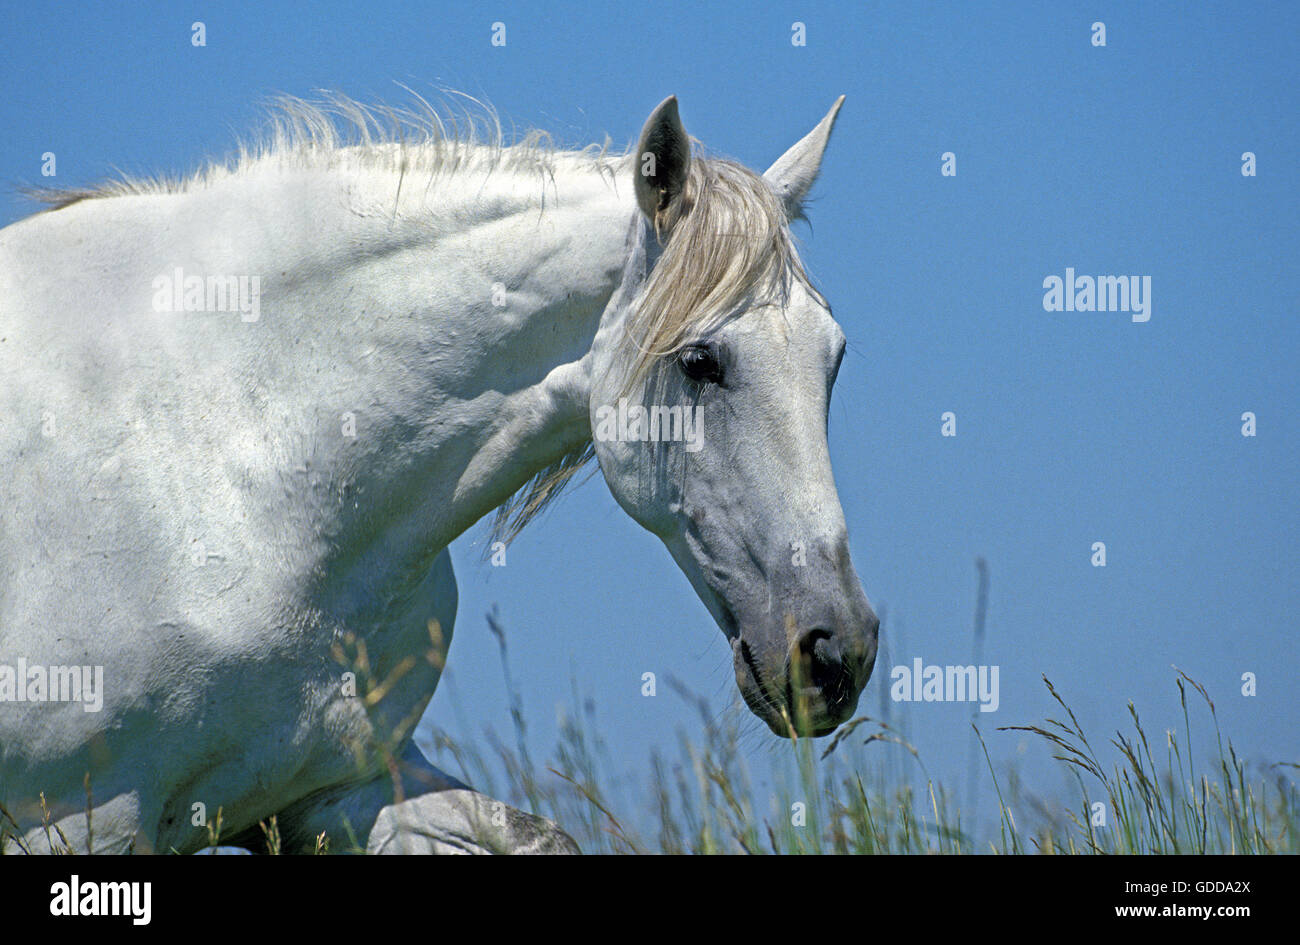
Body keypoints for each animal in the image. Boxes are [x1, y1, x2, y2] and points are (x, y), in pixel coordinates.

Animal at [0, 92, 878, 852]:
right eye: (700, 360)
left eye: (834, 357)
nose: (837, 654)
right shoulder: (83, 820)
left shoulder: (339, 793)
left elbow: (542, 836)